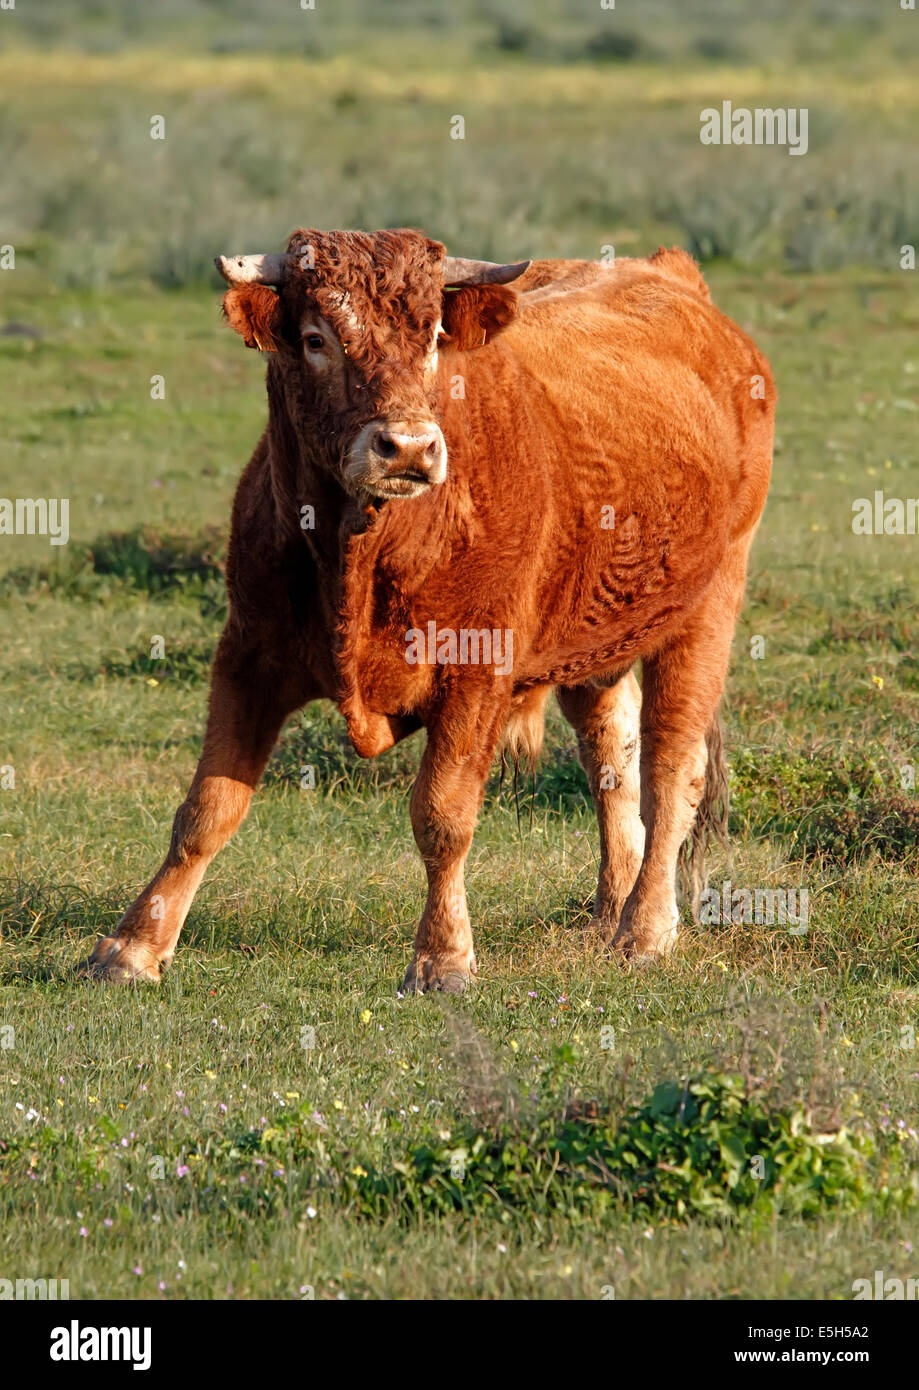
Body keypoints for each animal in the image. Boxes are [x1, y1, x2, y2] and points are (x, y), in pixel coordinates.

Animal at [84, 227, 775, 992]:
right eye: (317, 338)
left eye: (435, 337)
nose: (409, 447)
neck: (361, 550)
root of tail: (669, 274)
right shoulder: (246, 654)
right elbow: (207, 808)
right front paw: (132, 946)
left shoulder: (476, 671)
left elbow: (442, 814)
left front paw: (442, 956)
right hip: (598, 633)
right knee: (612, 761)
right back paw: (607, 909)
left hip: (707, 608)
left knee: (670, 769)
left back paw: (645, 929)